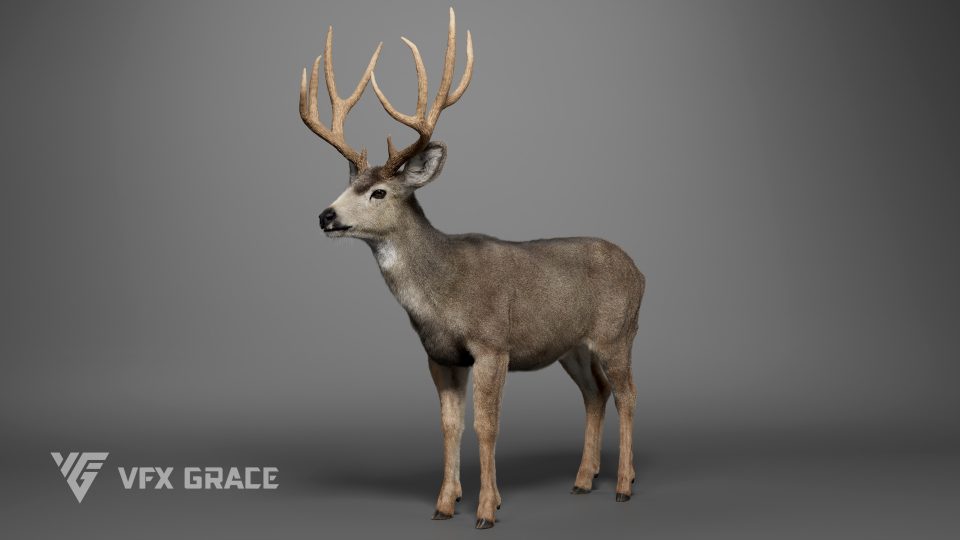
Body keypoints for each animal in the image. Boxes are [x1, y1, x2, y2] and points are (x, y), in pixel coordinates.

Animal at [298, 8, 645, 529]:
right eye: (349, 185)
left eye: (379, 192)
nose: (326, 216)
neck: (442, 293)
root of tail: (641, 272)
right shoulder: (440, 354)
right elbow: (449, 426)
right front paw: (445, 503)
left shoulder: (492, 344)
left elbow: (486, 425)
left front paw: (486, 509)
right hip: (571, 346)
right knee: (595, 392)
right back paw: (584, 479)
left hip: (617, 332)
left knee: (627, 394)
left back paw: (623, 485)